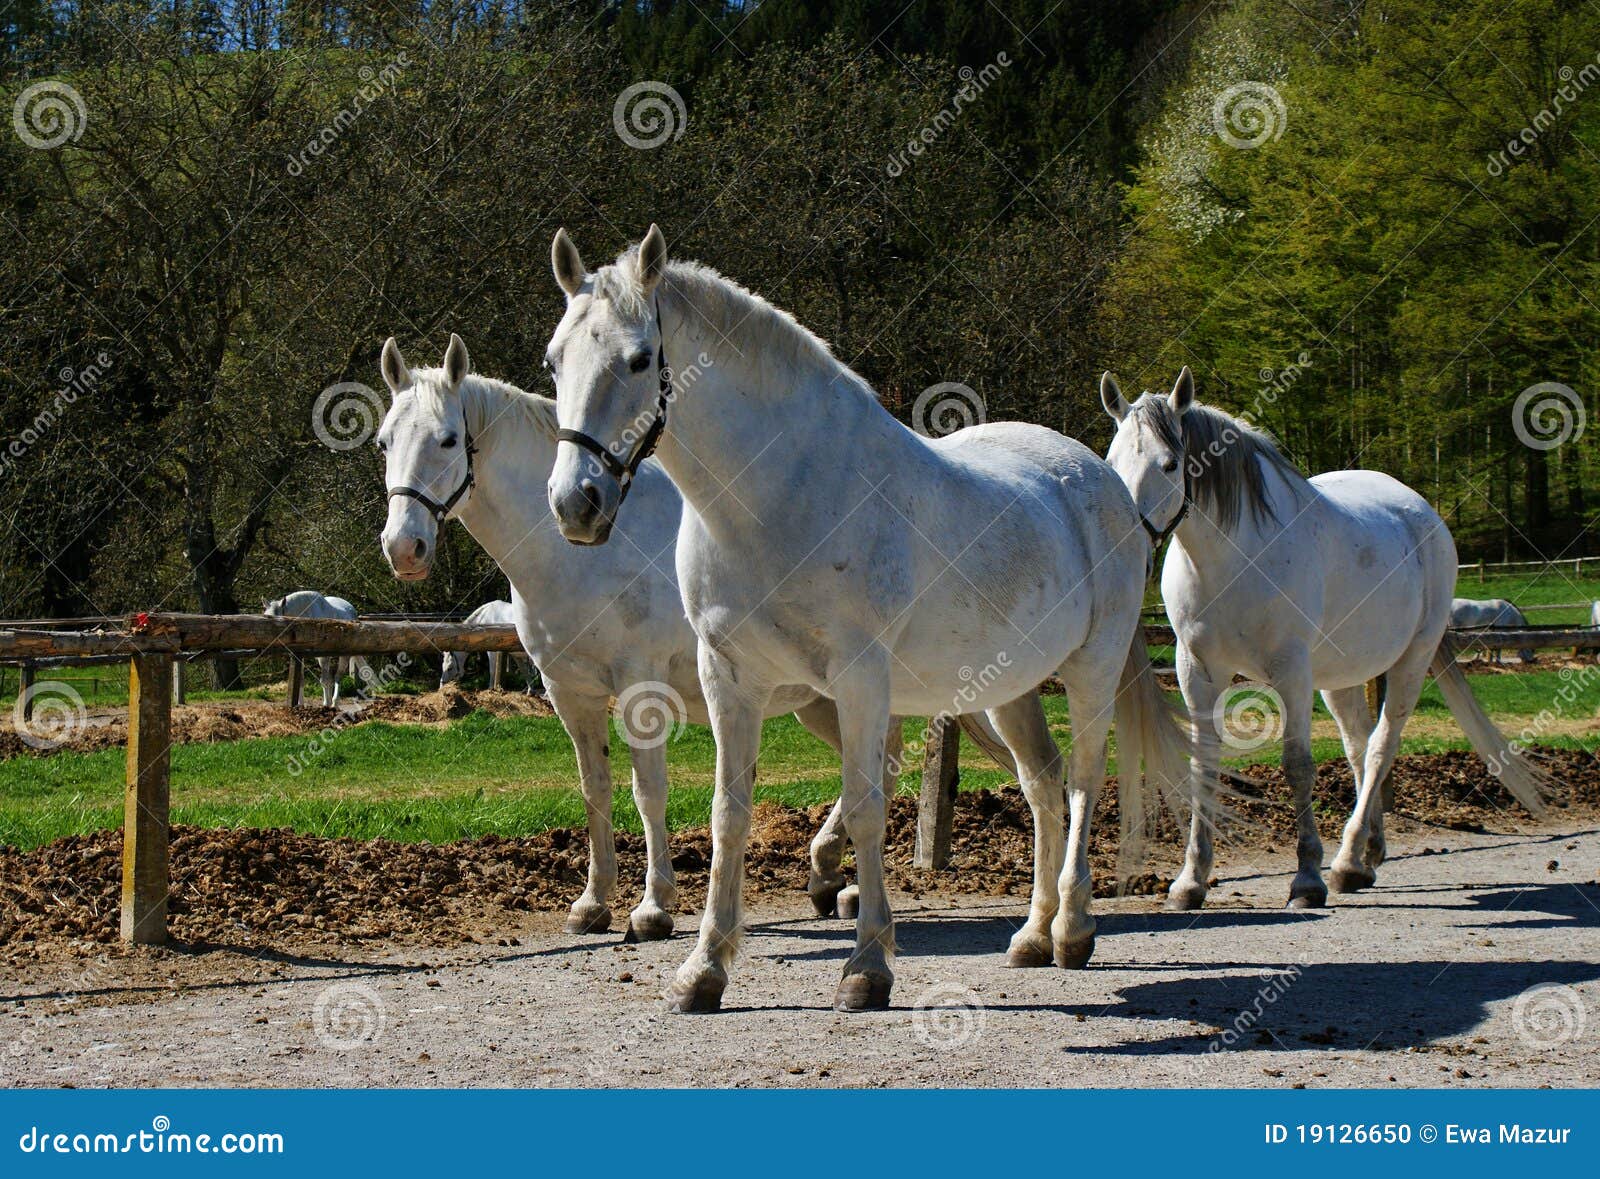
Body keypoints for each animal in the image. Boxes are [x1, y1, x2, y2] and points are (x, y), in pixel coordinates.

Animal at [375, 335, 1015, 941]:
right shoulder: (569, 693)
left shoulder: (640, 687)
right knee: (877, 768)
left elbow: (648, 791)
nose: (404, 548)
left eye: (448, 441)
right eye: (384, 442)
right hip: (819, 700)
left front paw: (653, 907)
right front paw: (593, 903)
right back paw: (833, 880)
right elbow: (594, 790)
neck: (582, 558)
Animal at [542, 225, 1188, 1013]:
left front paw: (868, 967)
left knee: (1086, 779)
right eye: (554, 359)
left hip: (1090, 670)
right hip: (1005, 687)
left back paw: (1072, 930)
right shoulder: (729, 677)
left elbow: (865, 808)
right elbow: (730, 814)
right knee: (1042, 781)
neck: (782, 493)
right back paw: (1033, 937)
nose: (575, 505)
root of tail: (1105, 482)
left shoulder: (858, 680)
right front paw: (704, 969)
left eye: (639, 358)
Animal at [1100, 367, 1551, 910]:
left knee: (1380, 746)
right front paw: (1191, 880)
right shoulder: (1197, 672)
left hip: (1410, 662)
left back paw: (1345, 863)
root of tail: (1422, 512)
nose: (1125, 544)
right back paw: (1367, 853)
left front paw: (1306, 879)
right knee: (1358, 745)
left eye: (1169, 465)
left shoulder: (1291, 673)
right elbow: (1203, 766)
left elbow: (1298, 765)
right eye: (1111, 463)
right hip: (1341, 677)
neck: (1233, 559)